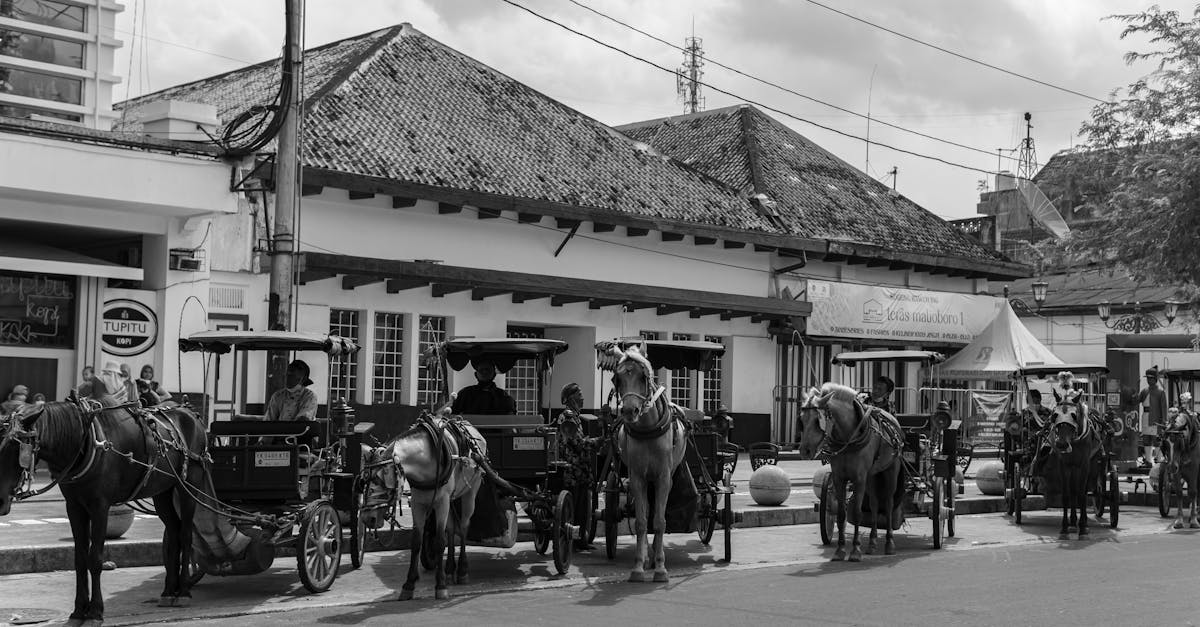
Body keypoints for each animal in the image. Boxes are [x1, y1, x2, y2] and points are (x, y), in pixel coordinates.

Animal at [0, 398, 207, 619]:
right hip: (162, 491)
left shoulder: (100, 507)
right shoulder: (74, 506)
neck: (85, 443)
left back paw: (183, 591)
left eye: (17, 450)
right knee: (174, 532)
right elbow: (80, 559)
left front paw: (95, 610)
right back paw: (169, 591)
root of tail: (190, 412)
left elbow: (95, 558)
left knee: (186, 534)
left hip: (188, 486)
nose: (1, 501)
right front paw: (79, 609)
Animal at [393, 408, 487, 598]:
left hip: (470, 493)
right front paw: (409, 584)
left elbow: (438, 542)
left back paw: (462, 570)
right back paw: (450, 568)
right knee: (450, 529)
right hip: (450, 499)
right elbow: (416, 541)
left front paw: (440, 585)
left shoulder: (441, 501)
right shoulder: (418, 503)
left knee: (463, 526)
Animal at [609, 341, 686, 581]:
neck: (648, 429)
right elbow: (642, 522)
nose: (629, 410)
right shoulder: (637, 477)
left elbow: (660, 522)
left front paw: (661, 567)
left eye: (643, 377)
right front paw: (638, 566)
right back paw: (647, 556)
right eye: (617, 378)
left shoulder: (663, 477)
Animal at [796, 381, 902, 559]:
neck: (848, 436)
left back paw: (889, 544)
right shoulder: (839, 478)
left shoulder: (859, 478)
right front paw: (840, 550)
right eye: (802, 420)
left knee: (888, 504)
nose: (805, 451)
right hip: (871, 476)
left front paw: (855, 550)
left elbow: (858, 513)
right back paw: (872, 543)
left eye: (817, 421)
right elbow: (840, 514)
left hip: (890, 471)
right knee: (874, 504)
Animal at [1046, 401, 1099, 535]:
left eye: (1074, 415)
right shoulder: (1064, 465)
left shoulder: (1084, 465)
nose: (1061, 444)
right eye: (1054, 415)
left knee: (1082, 492)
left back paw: (1083, 521)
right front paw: (1065, 526)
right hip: (1074, 469)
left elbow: (1082, 495)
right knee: (1073, 490)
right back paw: (1073, 522)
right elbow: (1066, 495)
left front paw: (1083, 527)